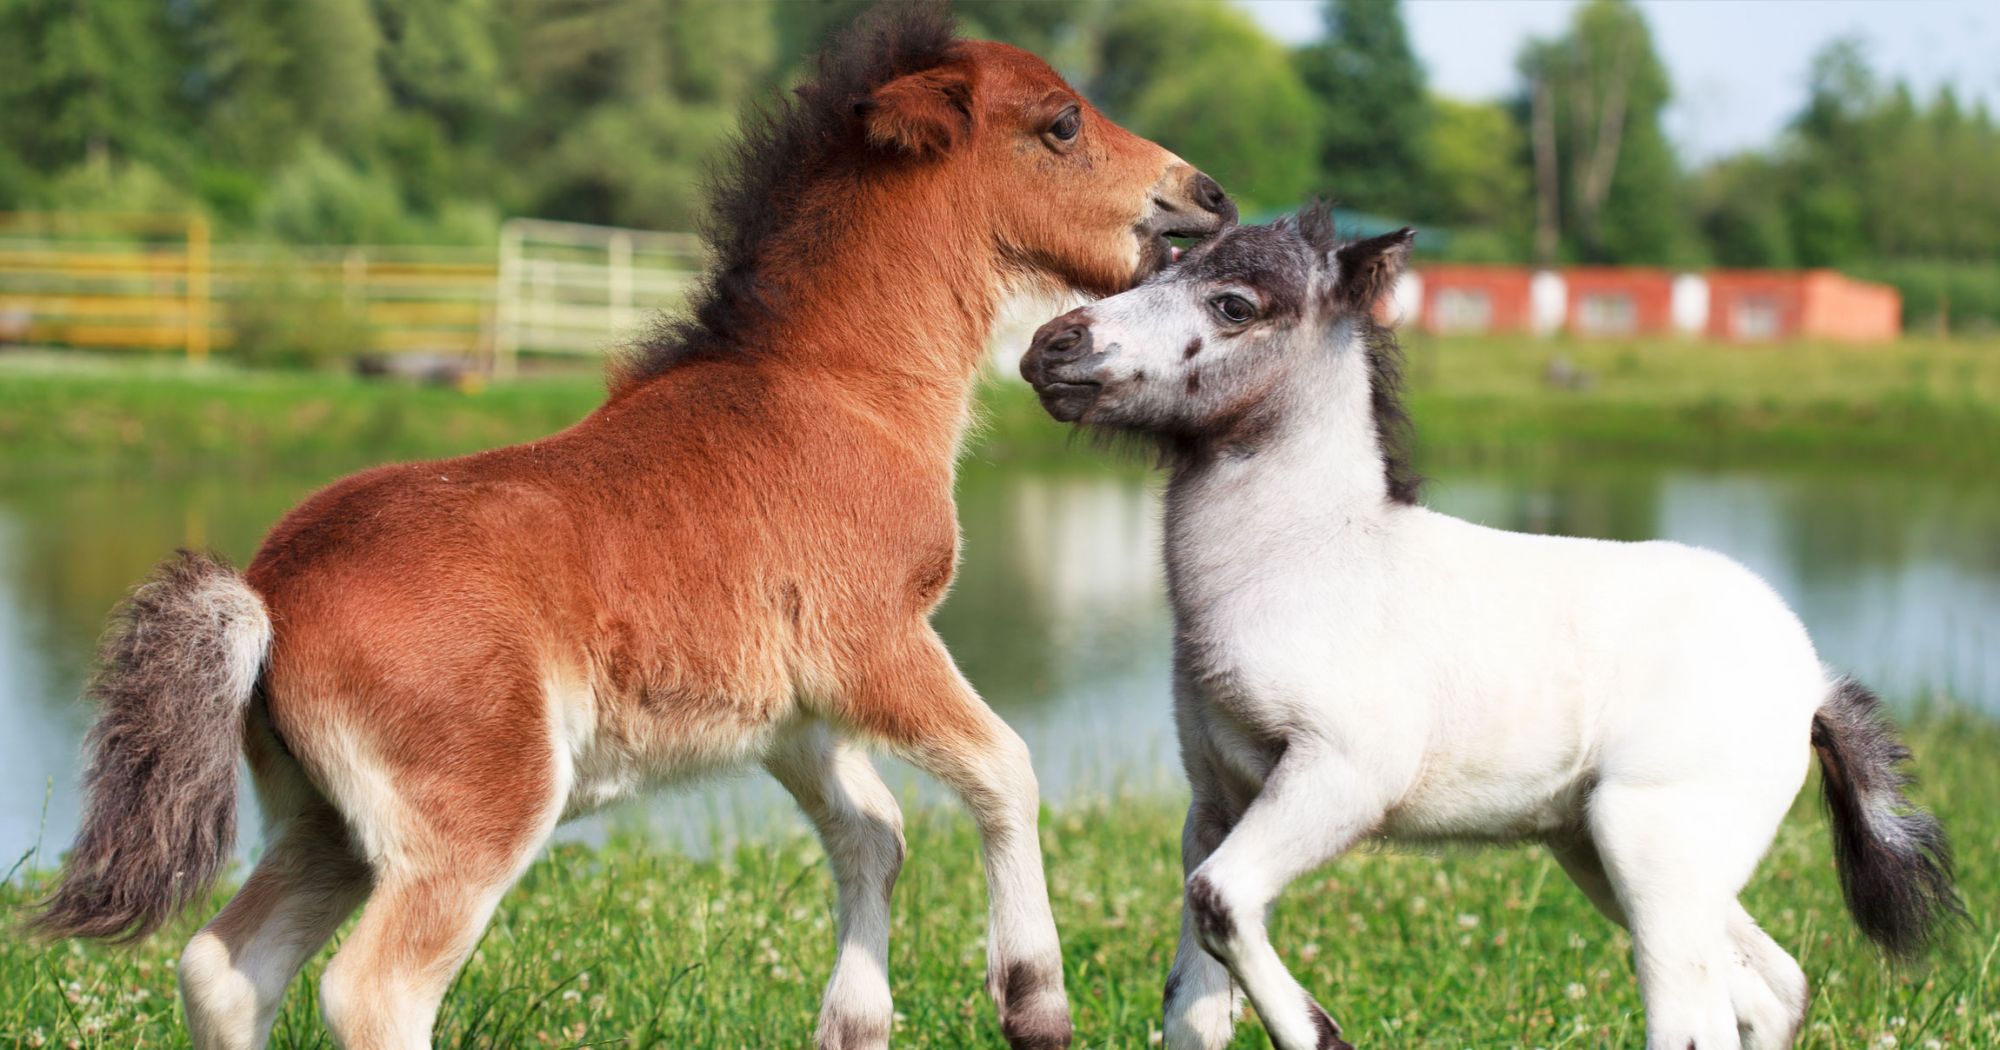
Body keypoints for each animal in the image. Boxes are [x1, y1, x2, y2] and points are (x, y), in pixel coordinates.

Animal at [28, 9, 1235, 1049]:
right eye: (1062, 122)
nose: (1207, 194)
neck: (838, 391)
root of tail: (262, 593)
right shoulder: (875, 642)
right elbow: (1004, 771)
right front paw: (1034, 1001)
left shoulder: (794, 708)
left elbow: (872, 834)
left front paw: (853, 1025)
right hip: (476, 814)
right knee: (371, 991)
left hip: (326, 823)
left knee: (225, 968)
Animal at [1017, 206, 1961, 1050]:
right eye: (1156, 270)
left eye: (1234, 305)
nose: (1051, 347)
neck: (1307, 562)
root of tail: (1813, 684)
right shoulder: (1216, 802)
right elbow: (1192, 1003)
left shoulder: (1344, 772)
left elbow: (1221, 901)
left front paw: (1324, 1035)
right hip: (1608, 851)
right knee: (1773, 986)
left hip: (1657, 846)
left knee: (1697, 1019)